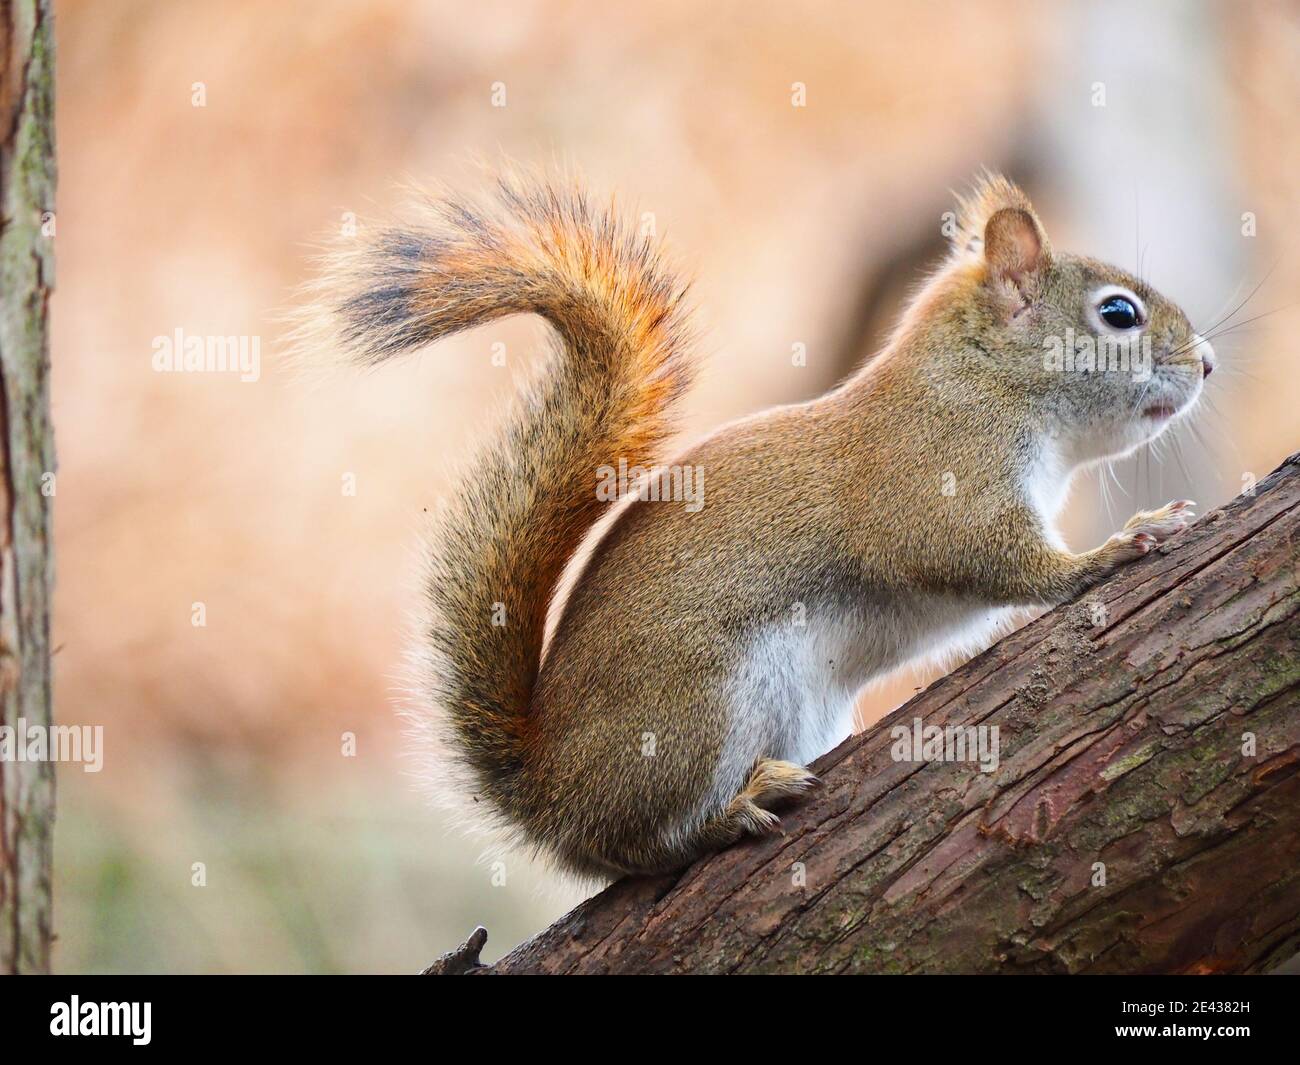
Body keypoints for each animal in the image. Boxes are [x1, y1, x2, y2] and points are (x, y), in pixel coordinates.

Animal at [294, 170, 1215, 879]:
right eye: (1119, 314)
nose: (1207, 362)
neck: (983, 380)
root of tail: (549, 791)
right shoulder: (940, 479)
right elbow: (998, 561)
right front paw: (1119, 545)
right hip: (700, 704)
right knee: (643, 845)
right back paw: (735, 808)